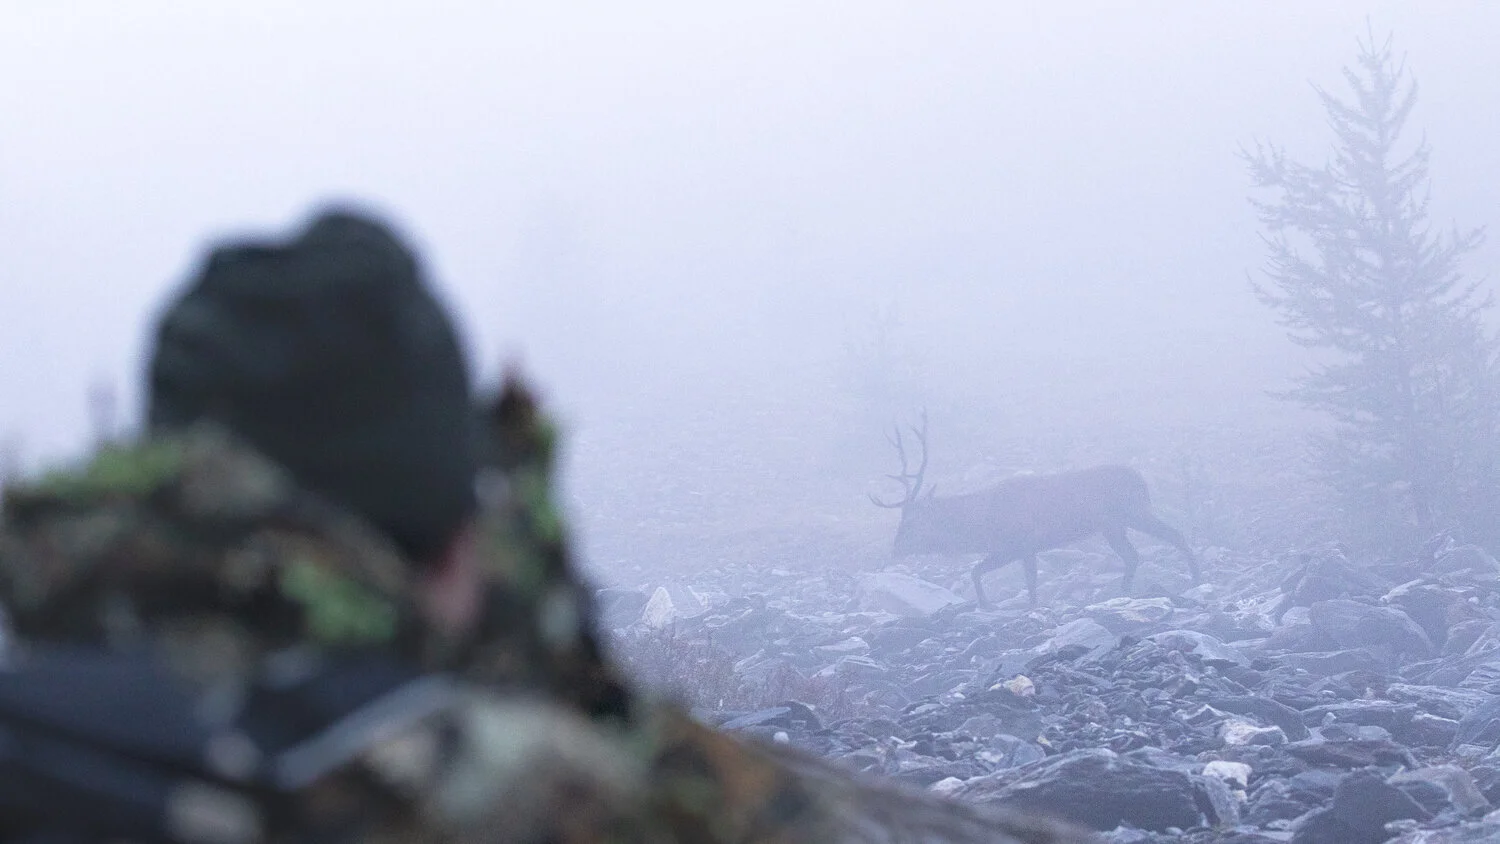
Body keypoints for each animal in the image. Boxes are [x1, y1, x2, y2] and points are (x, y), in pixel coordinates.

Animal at [870, 412, 1200, 608]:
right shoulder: (1010, 549)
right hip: (1113, 526)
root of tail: (1142, 479)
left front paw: (1019, 606)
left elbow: (1025, 580)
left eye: (911, 521)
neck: (980, 525)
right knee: (1133, 555)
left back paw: (1196, 579)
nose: (895, 549)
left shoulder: (1023, 543)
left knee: (1176, 534)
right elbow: (978, 570)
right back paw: (1124, 591)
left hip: (1133, 512)